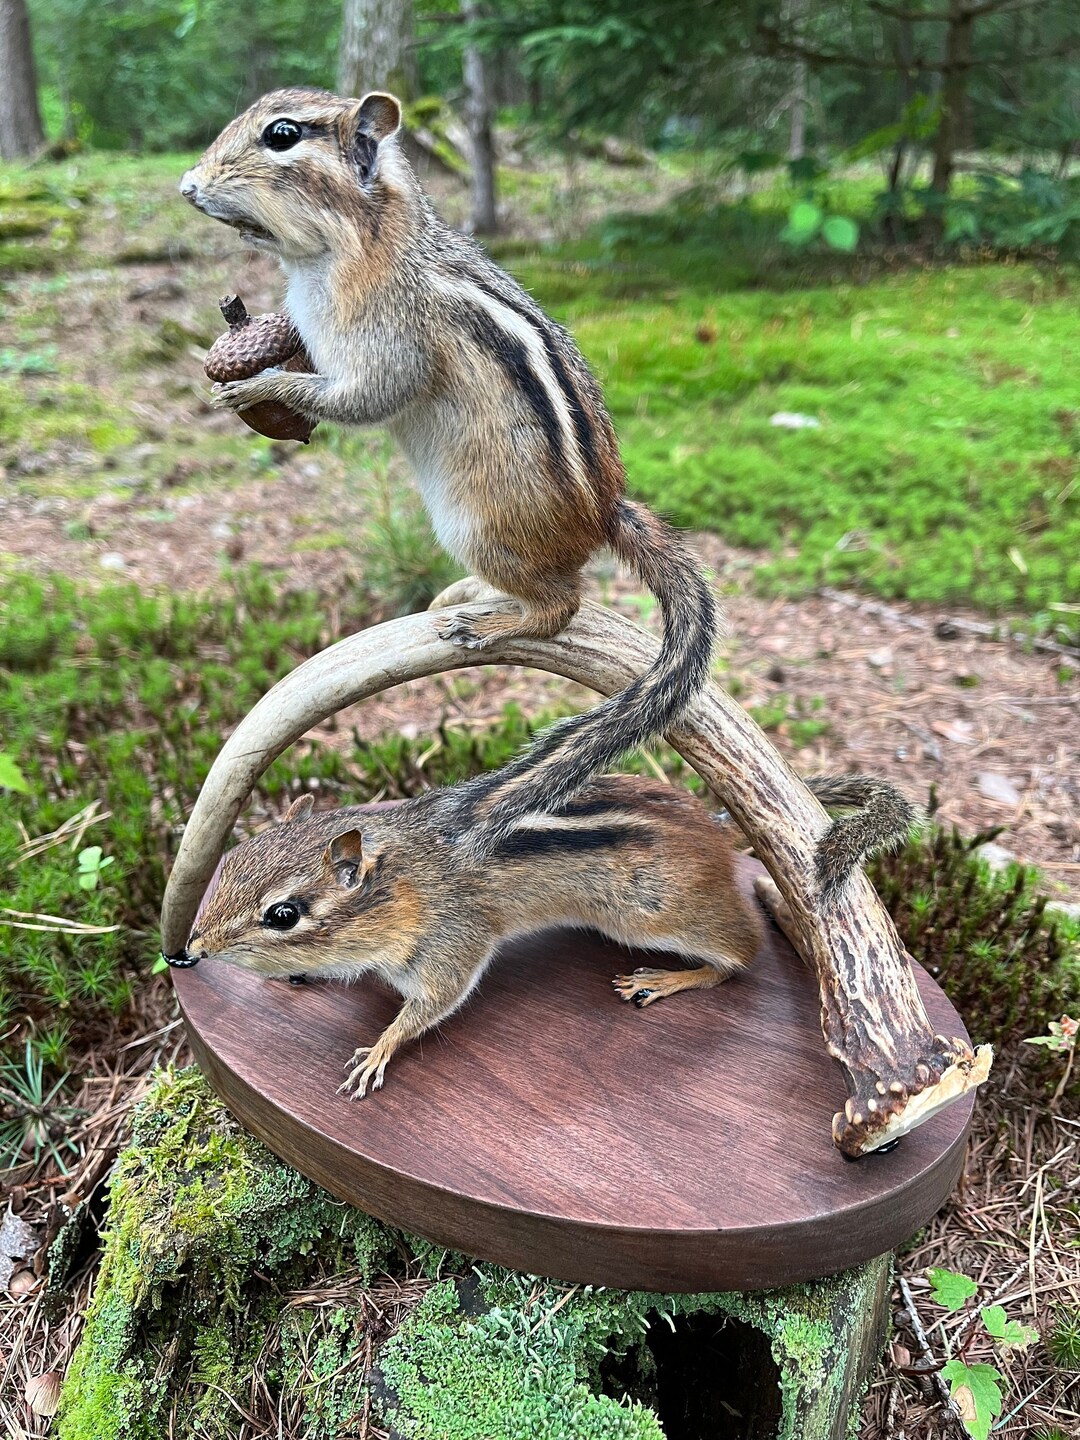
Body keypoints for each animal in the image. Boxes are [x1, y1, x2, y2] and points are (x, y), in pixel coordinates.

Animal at [178, 88, 719, 855]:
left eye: (281, 135)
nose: (187, 185)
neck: (358, 241)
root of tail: (606, 509)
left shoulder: (387, 337)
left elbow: (367, 397)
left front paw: (259, 385)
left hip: (478, 526)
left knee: (562, 605)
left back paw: (487, 626)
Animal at [183, 771, 916, 1098]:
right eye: (238, 856)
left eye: (283, 914)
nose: (190, 952)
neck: (407, 885)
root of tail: (708, 822)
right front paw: (304, 978)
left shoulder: (452, 944)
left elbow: (430, 1006)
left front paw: (379, 1051)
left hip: (654, 913)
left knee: (744, 950)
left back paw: (668, 977)